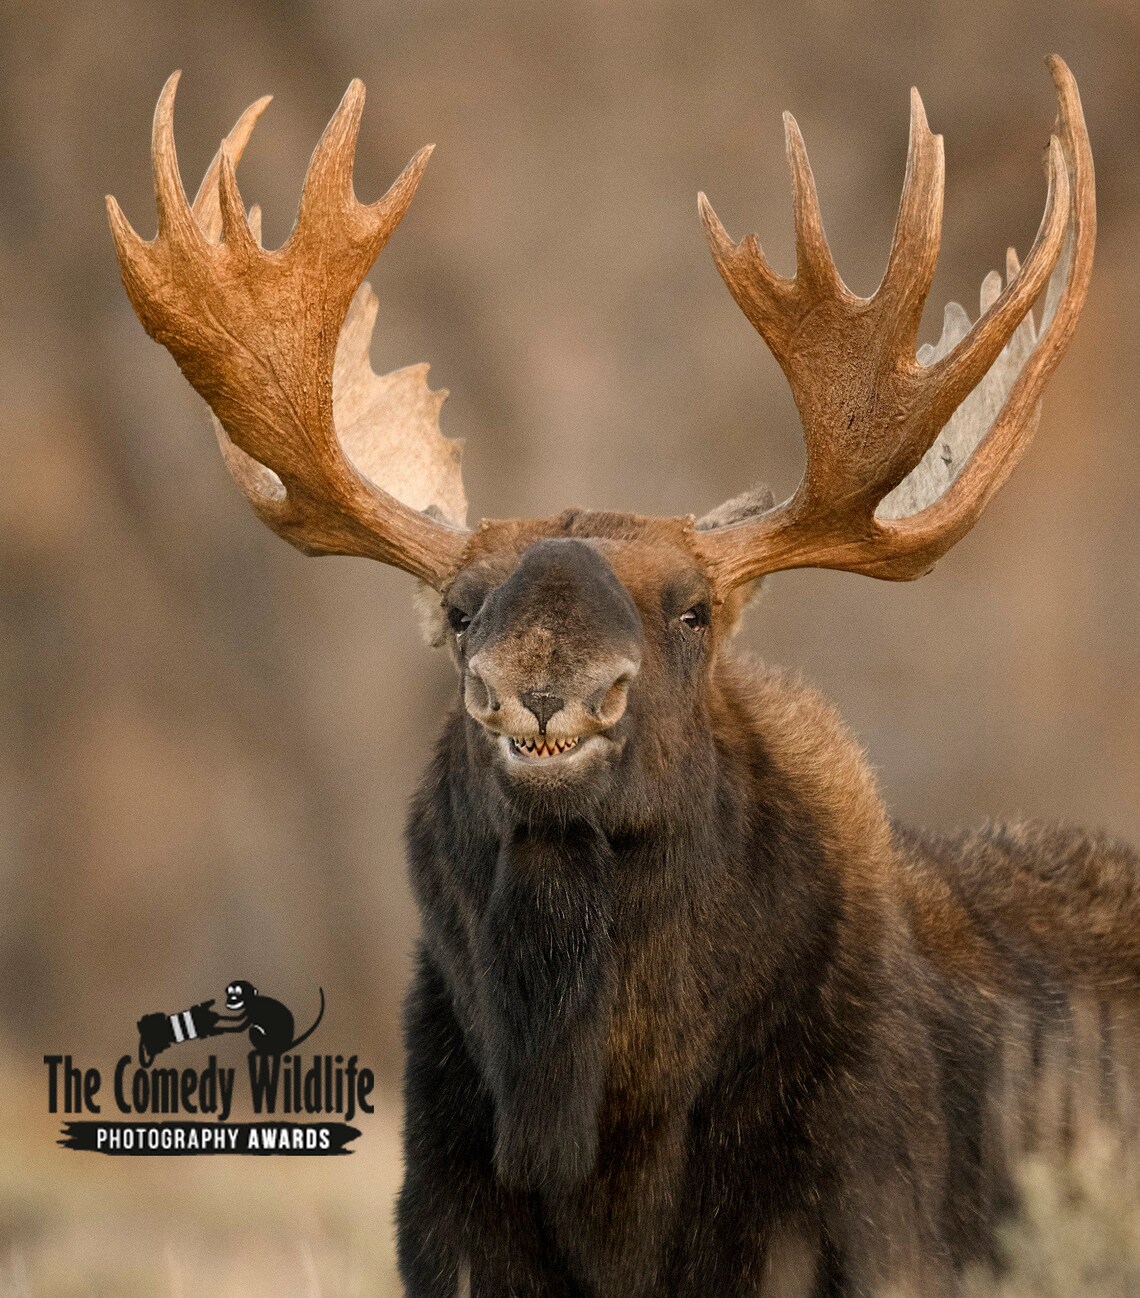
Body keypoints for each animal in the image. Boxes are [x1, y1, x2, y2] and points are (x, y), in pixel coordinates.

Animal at [108, 55, 1138, 1297]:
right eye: (461, 611)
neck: (613, 1157)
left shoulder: (882, 1231)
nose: (547, 687)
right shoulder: (446, 1227)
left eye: (692, 610)